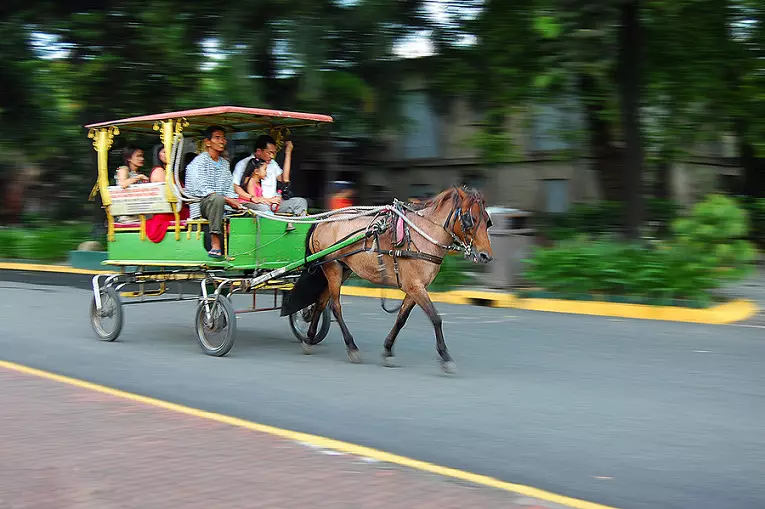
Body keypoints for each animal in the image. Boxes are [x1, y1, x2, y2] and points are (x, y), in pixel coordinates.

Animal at [284, 185, 492, 372]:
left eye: (488, 221)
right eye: (470, 219)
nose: (485, 256)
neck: (422, 235)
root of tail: (322, 220)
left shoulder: (415, 287)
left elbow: (401, 318)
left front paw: (388, 350)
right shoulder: (415, 286)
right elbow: (435, 318)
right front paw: (445, 356)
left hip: (342, 269)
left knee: (321, 302)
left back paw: (309, 339)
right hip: (332, 267)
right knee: (335, 306)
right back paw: (351, 347)